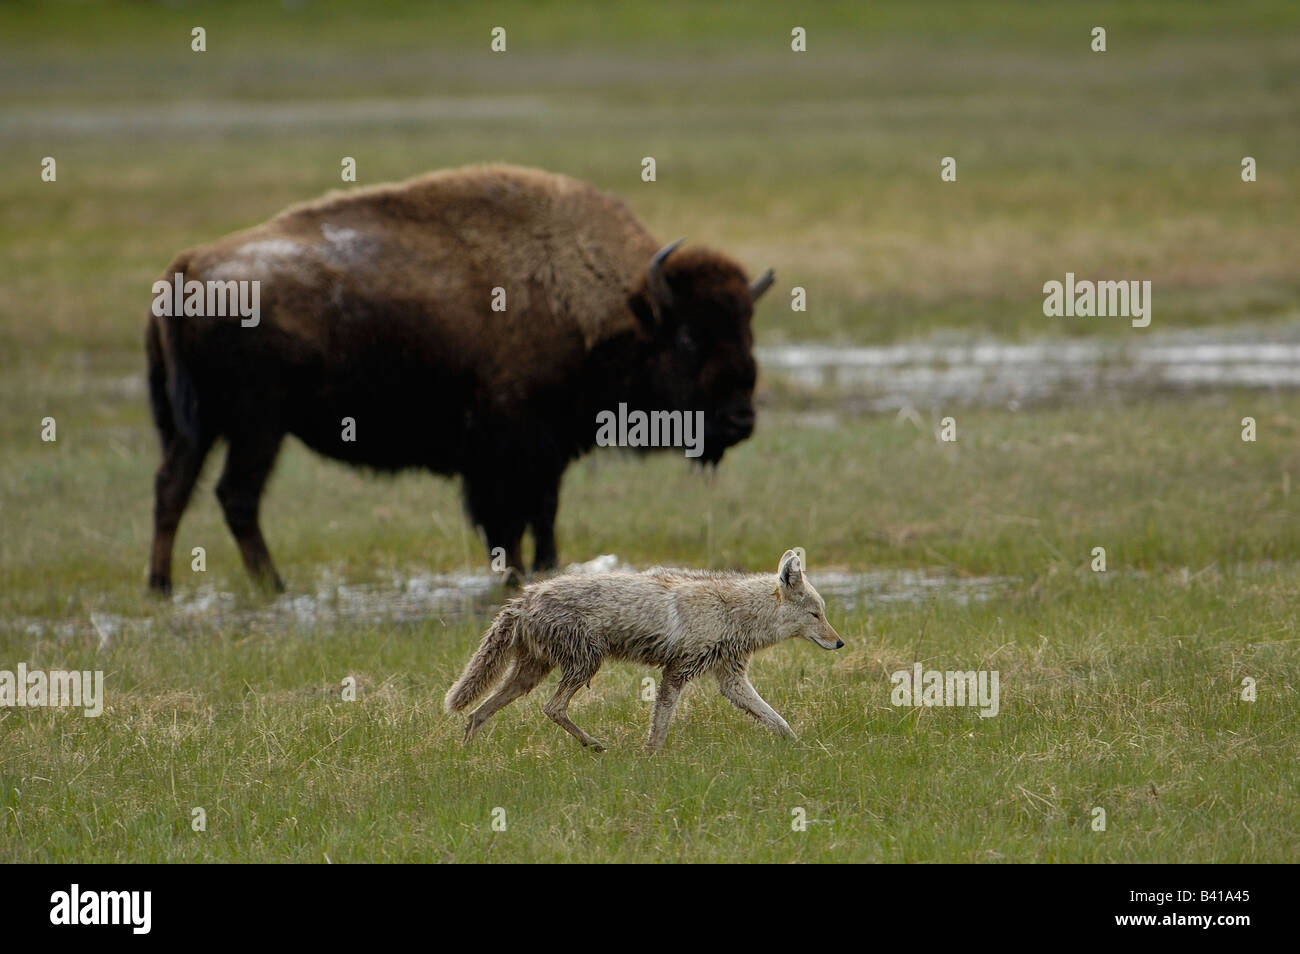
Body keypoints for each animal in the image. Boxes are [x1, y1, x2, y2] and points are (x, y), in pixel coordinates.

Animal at [145, 164, 773, 593]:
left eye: (748, 328)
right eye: (689, 337)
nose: (741, 419)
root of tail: (190, 263)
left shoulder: (547, 451)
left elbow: (543, 512)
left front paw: (546, 568)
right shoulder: (509, 449)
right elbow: (510, 519)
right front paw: (518, 576)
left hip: (196, 425)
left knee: (173, 487)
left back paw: (162, 587)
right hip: (258, 423)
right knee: (236, 495)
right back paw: (271, 586)